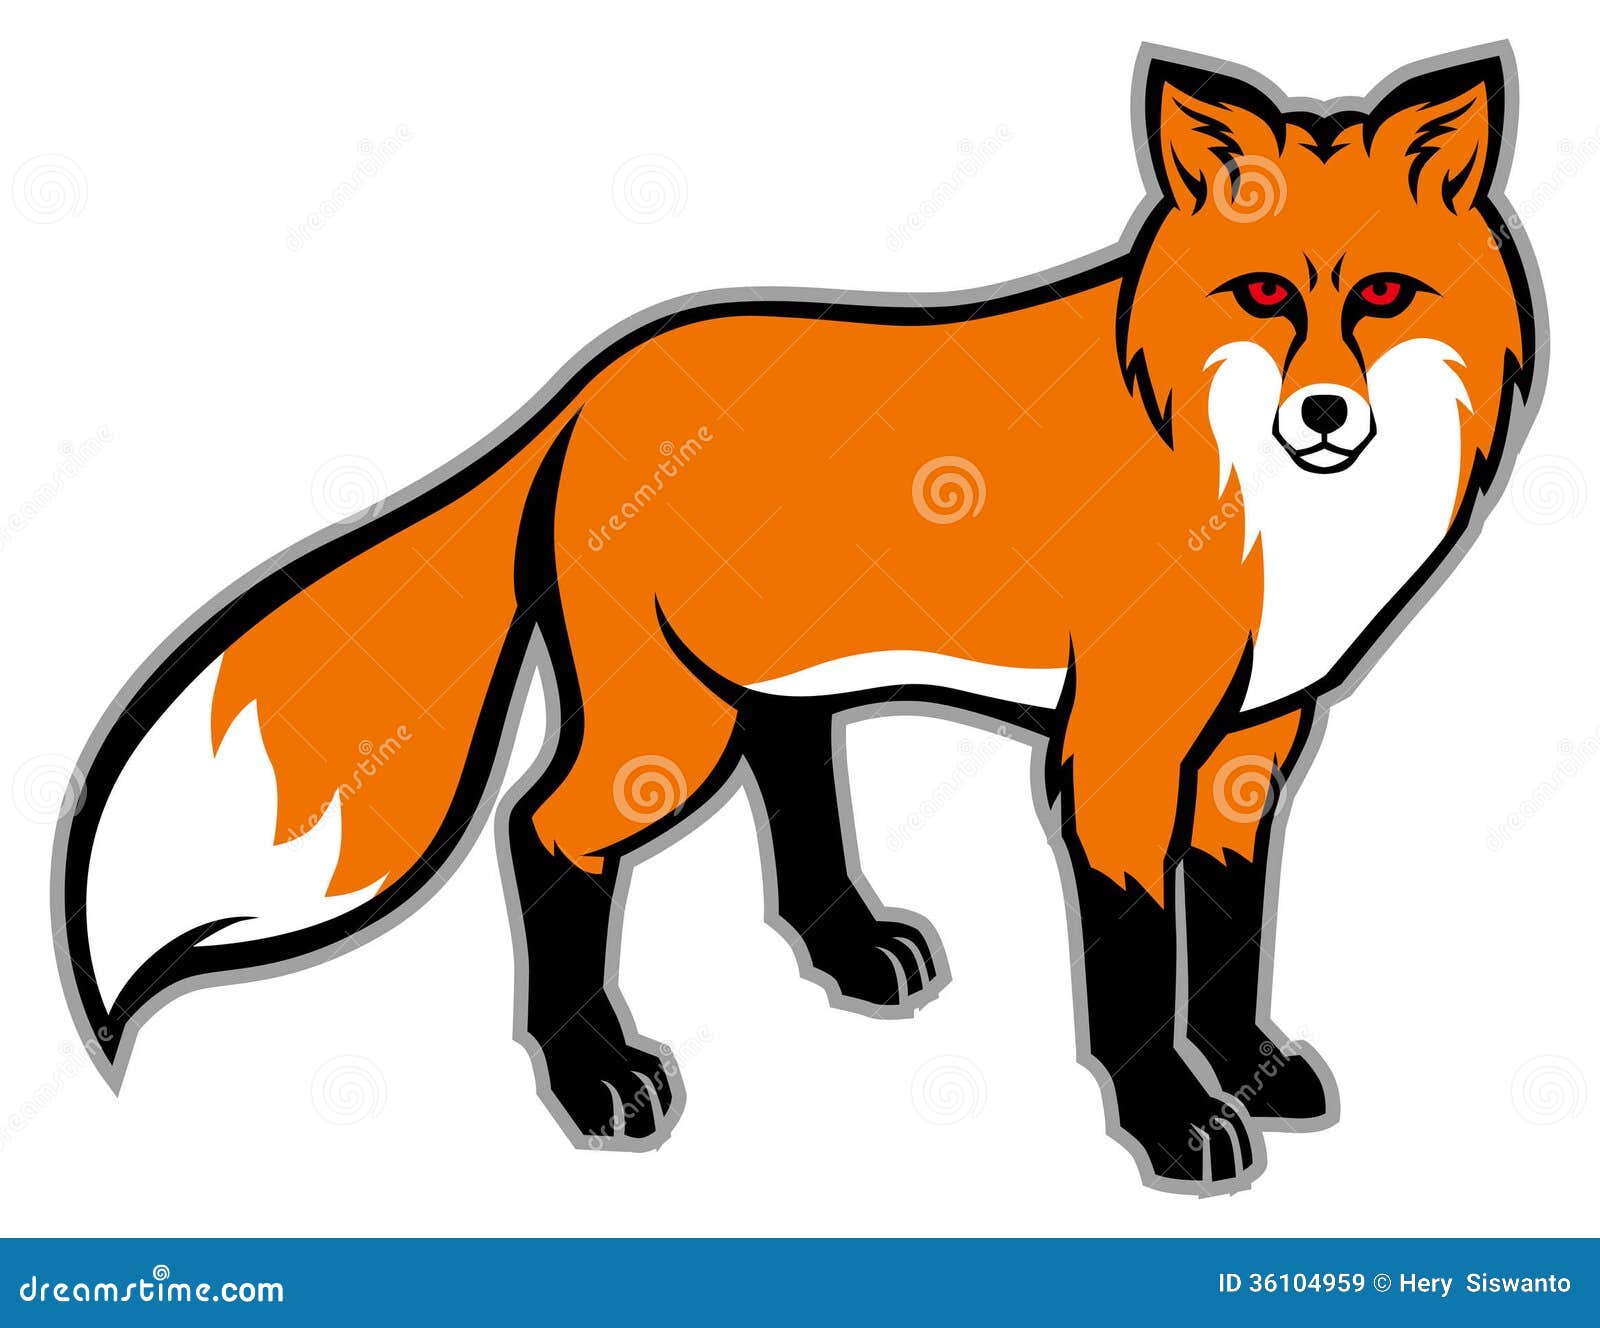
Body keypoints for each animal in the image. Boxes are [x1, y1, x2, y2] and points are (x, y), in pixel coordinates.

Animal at [55, 44, 1541, 1193]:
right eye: (1265, 297)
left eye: (1384, 296)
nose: (1324, 415)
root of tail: (581, 393)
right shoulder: (1119, 748)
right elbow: (1135, 965)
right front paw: (1173, 1124)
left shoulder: (1253, 739)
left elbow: (1229, 932)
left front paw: (1252, 1067)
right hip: (665, 728)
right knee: (542, 832)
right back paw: (593, 1076)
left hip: (761, 683)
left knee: (789, 783)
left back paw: (849, 946)